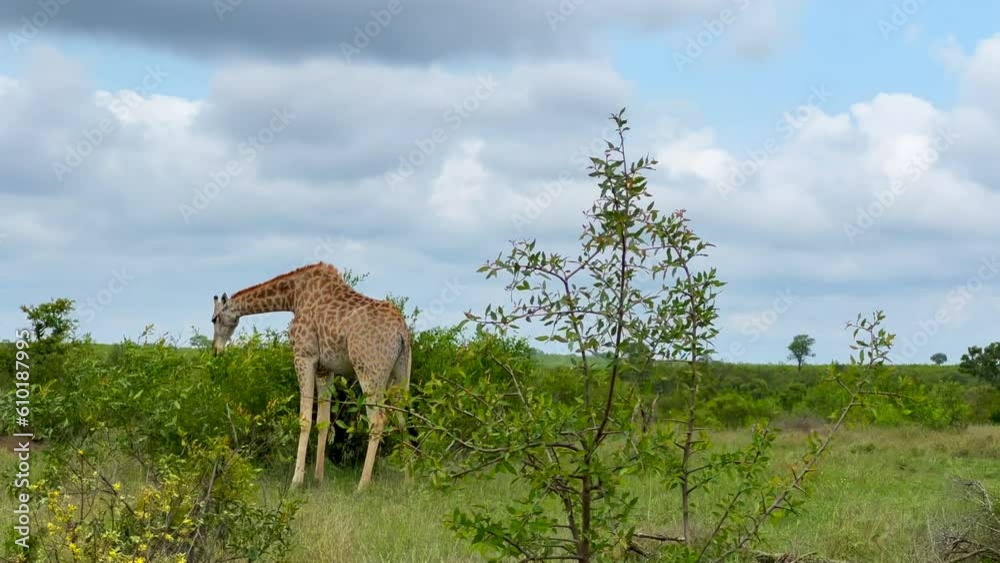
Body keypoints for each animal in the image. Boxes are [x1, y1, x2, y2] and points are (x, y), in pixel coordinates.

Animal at [210, 262, 411, 491]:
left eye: (214, 319)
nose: (216, 350)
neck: (293, 298)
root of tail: (401, 332)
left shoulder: (304, 356)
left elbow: (305, 419)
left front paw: (296, 482)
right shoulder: (325, 369)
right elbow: (324, 421)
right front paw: (318, 478)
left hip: (369, 371)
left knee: (378, 419)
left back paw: (362, 486)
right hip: (399, 374)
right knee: (402, 418)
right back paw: (408, 481)